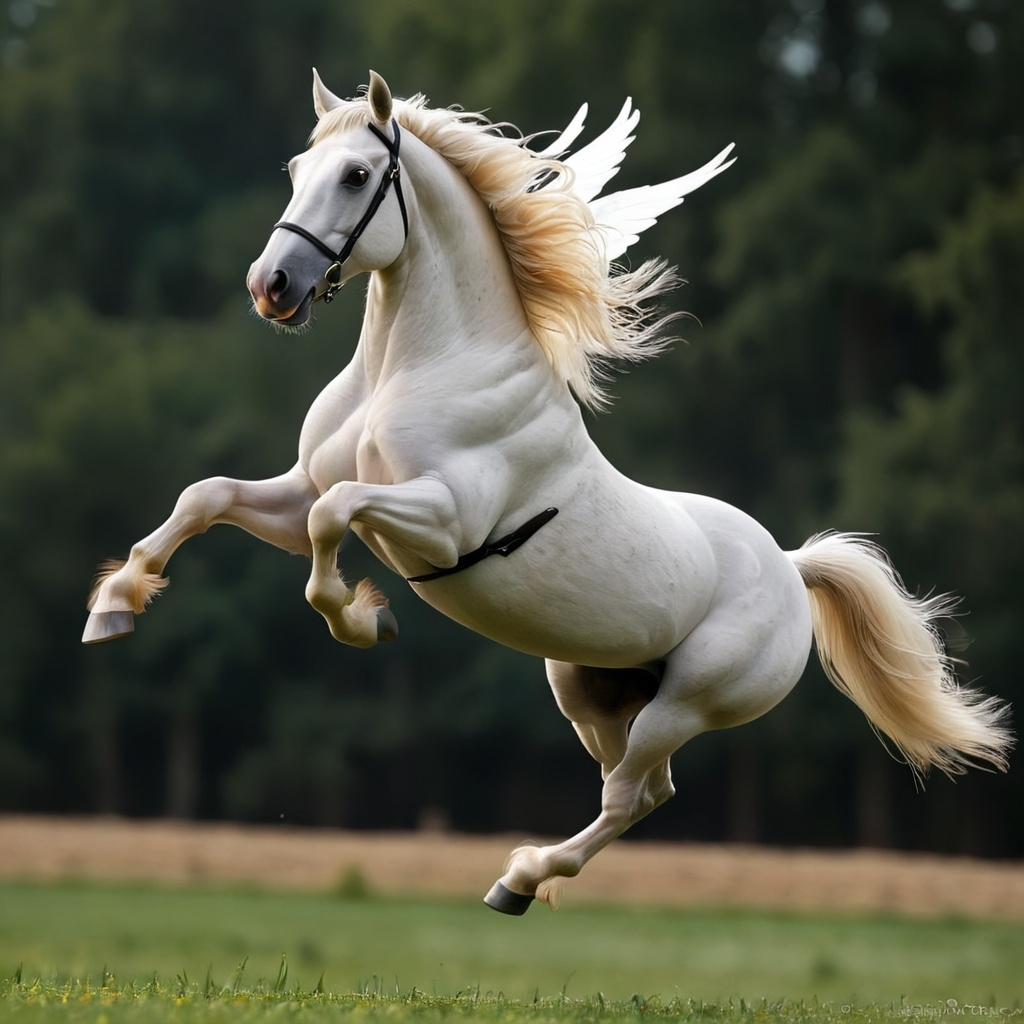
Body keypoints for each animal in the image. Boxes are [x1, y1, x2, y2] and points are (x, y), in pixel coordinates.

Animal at [83, 70, 1013, 914]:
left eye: (354, 175)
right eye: (294, 167)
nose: (270, 286)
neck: (411, 370)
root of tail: (791, 568)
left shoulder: (439, 523)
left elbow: (331, 521)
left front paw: (364, 618)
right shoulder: (291, 491)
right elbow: (209, 497)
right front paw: (115, 605)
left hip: (686, 700)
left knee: (630, 795)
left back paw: (521, 879)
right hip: (588, 690)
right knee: (644, 791)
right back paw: (519, 879)